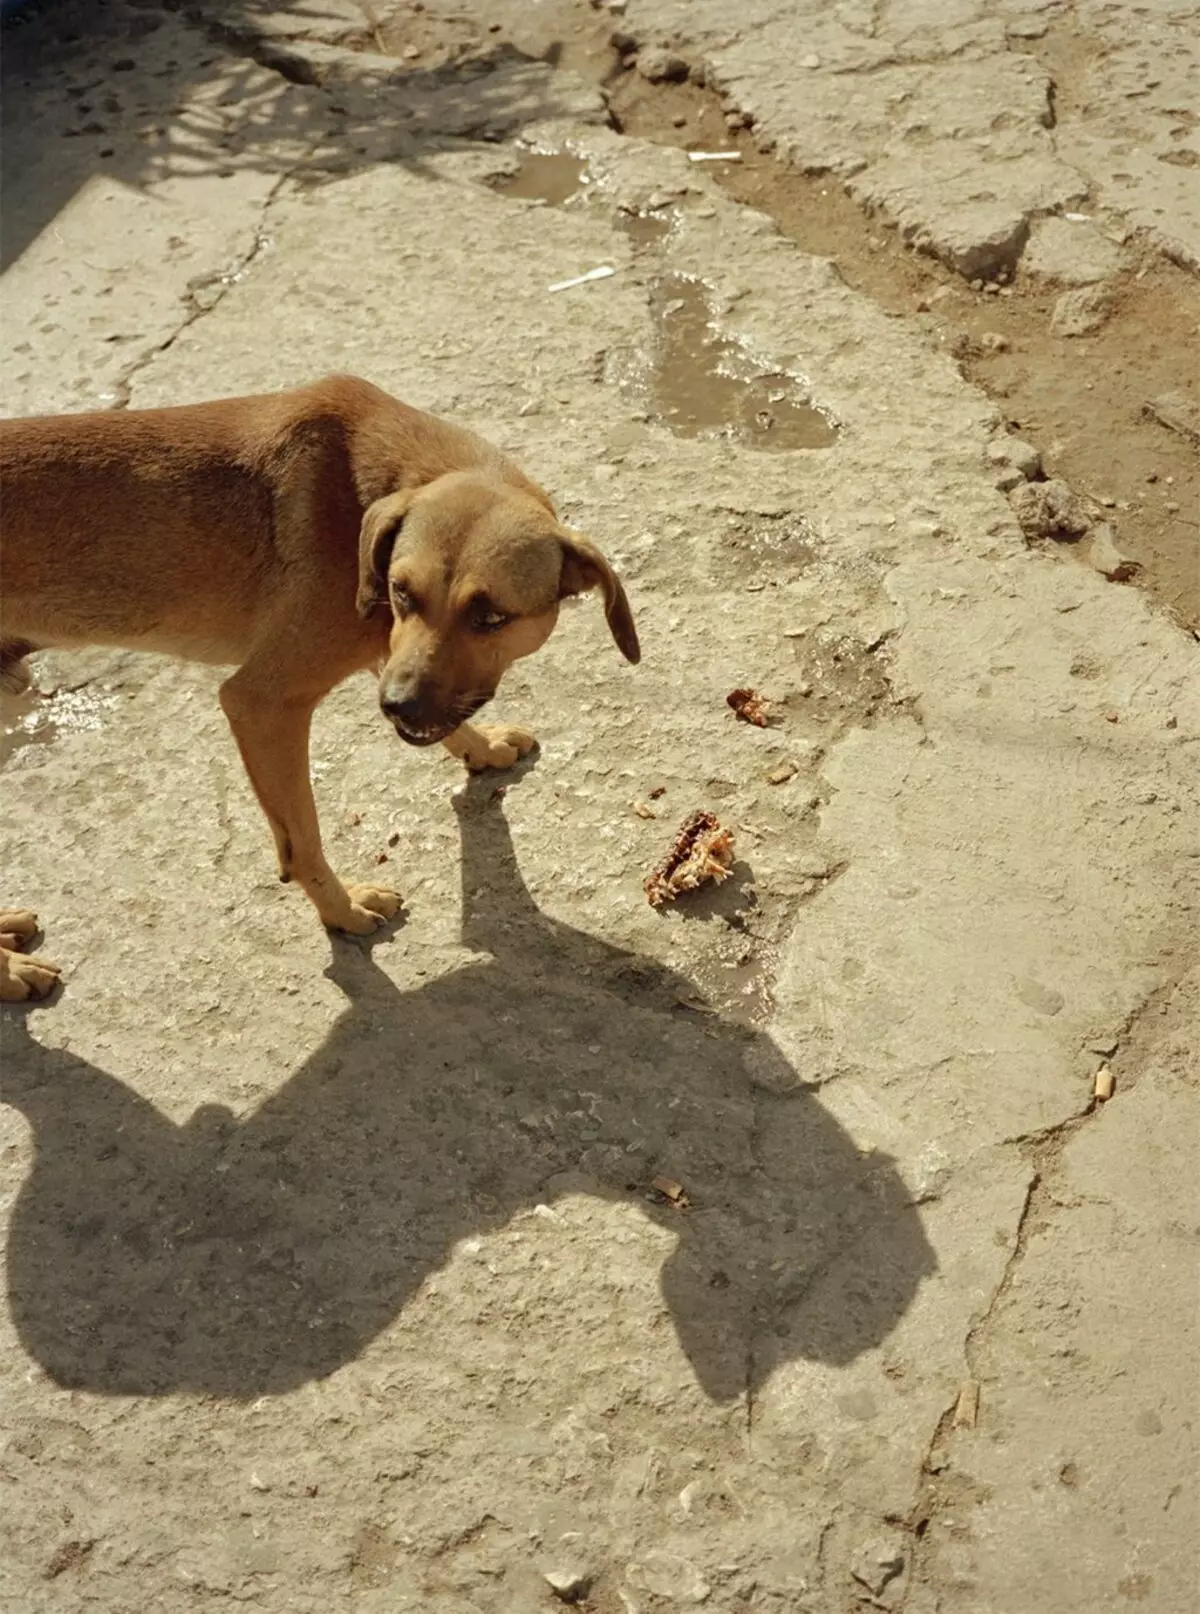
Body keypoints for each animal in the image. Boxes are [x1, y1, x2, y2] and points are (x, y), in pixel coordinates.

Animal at [2, 374, 639, 994]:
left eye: (490, 617)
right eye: (404, 591)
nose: (397, 708)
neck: (364, 485)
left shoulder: (383, 647)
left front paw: (481, 747)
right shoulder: (263, 703)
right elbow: (302, 839)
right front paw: (342, 911)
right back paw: (10, 973)